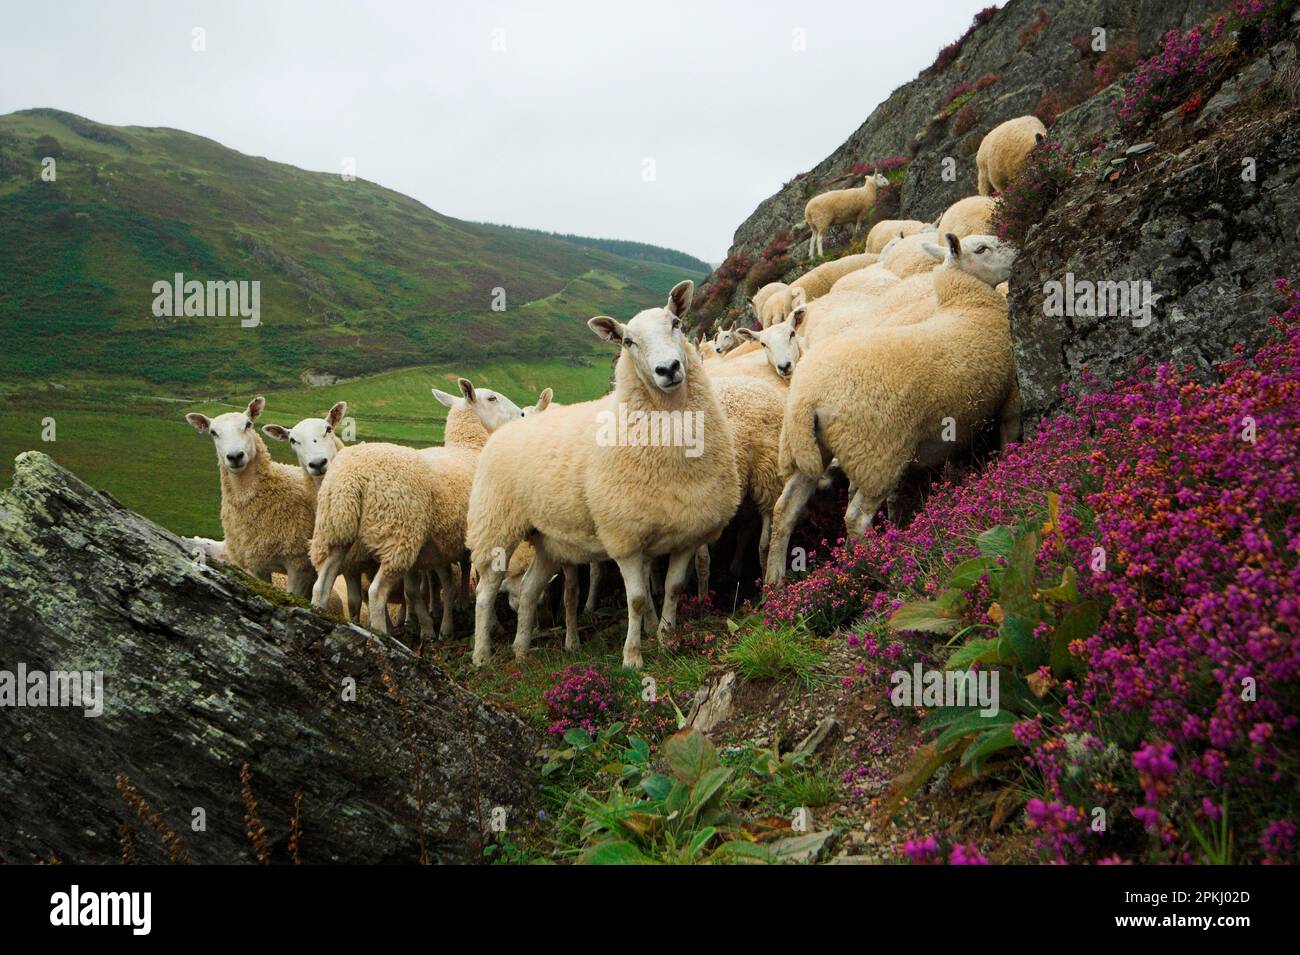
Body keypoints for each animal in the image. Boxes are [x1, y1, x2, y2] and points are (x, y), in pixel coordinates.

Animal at [309, 379, 525, 641]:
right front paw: (490, 624)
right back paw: (382, 636)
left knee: (321, 584)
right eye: (492, 398)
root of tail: (352, 476)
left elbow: (420, 589)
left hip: (335, 528)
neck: (468, 447)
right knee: (376, 593)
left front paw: (432, 626)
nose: (522, 414)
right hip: (398, 532)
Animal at [466, 280, 741, 669]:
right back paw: (482, 655)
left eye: (676, 323)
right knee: (486, 591)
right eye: (628, 342)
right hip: (495, 524)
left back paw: (521, 651)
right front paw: (633, 657)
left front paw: (667, 640)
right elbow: (637, 599)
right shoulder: (625, 538)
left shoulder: (688, 532)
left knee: (532, 589)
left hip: (546, 537)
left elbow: (672, 589)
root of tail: (503, 431)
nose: (668, 369)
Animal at [766, 233, 1019, 584]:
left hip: (806, 448)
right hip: (878, 454)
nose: (1017, 255)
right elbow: (1010, 438)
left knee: (785, 511)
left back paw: (776, 581)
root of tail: (806, 398)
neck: (966, 305)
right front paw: (1012, 466)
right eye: (981, 249)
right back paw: (880, 565)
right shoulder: (1010, 396)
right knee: (855, 518)